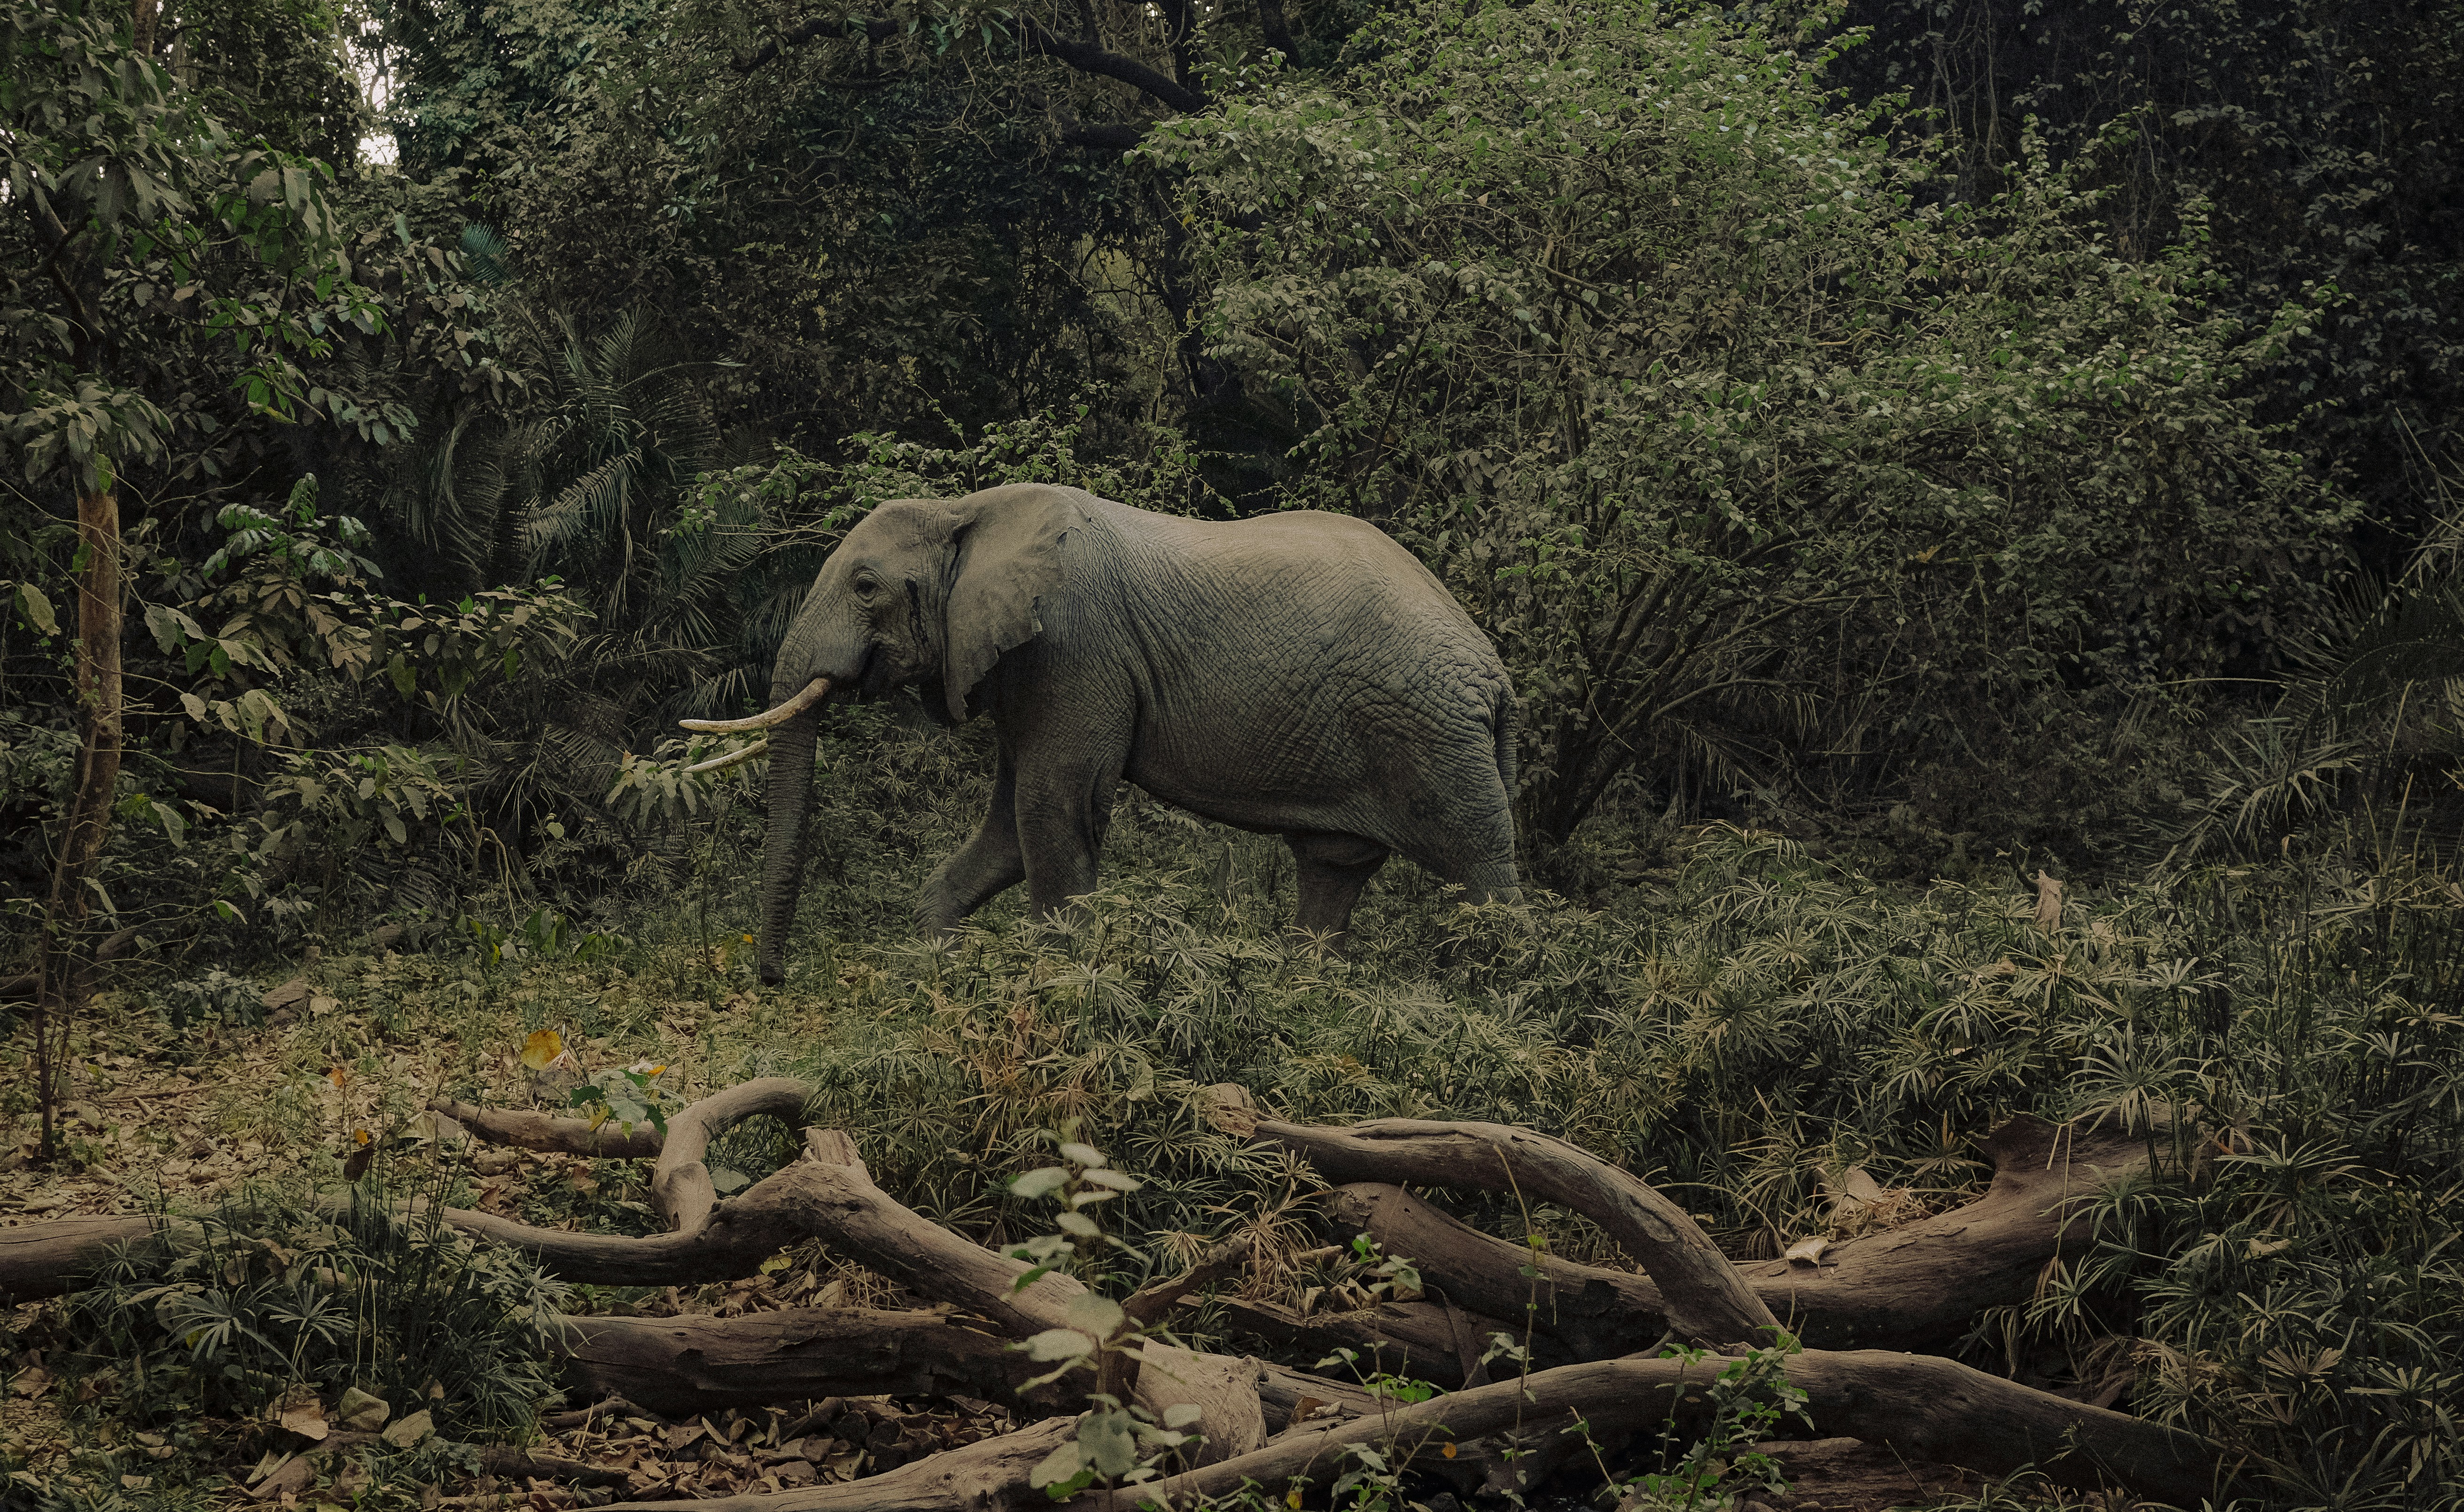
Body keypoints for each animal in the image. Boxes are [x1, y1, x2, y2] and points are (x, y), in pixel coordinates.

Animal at [684, 482, 1522, 985]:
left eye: (865, 587)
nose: (774, 978)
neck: (966, 510)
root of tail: (1497, 674)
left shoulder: (1073, 647)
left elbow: (1052, 808)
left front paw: (1062, 986)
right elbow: (1012, 828)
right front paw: (943, 970)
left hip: (1433, 735)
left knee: (1480, 870)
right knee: (1333, 867)